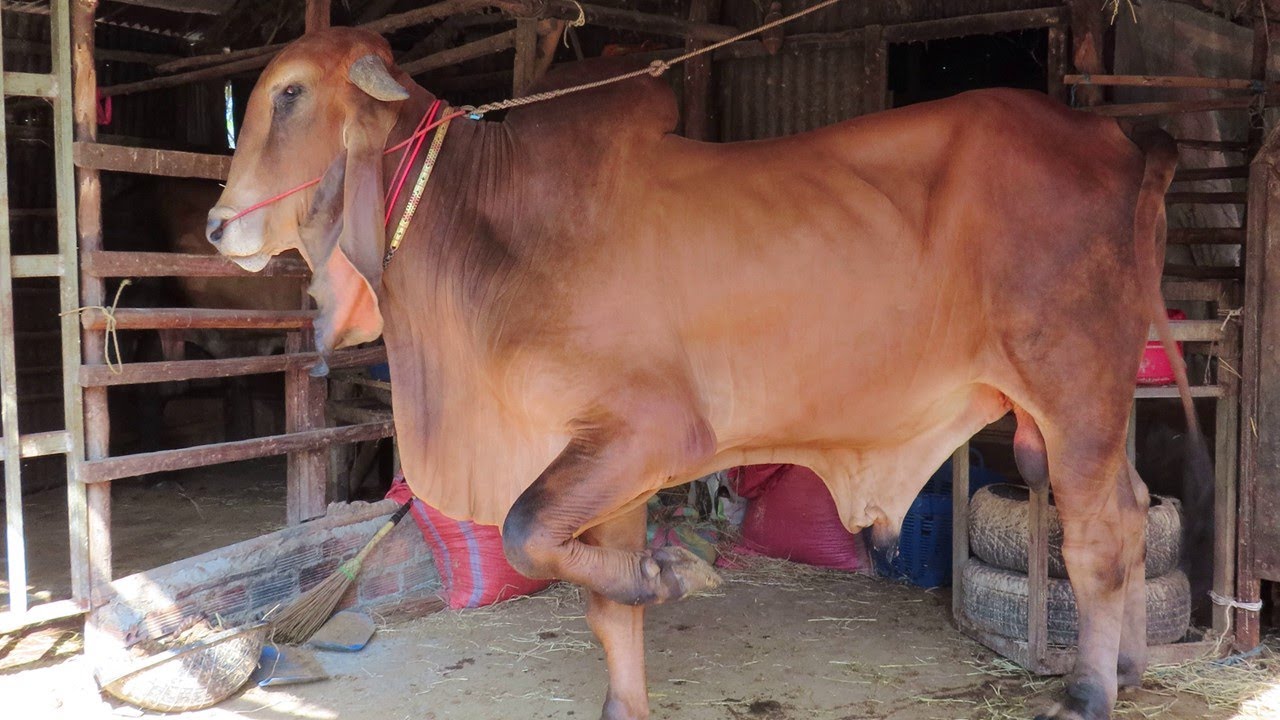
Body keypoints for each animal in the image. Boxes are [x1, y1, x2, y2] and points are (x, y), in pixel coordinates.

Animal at [205, 27, 1207, 720]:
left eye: (289, 93)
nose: (217, 226)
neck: (487, 220)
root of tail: (1119, 139)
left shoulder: (650, 434)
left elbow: (529, 532)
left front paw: (675, 574)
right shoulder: (599, 462)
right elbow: (599, 598)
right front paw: (630, 677)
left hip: (1074, 387)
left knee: (1101, 537)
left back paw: (1088, 692)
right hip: (1082, 406)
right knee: (1127, 508)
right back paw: (1124, 669)